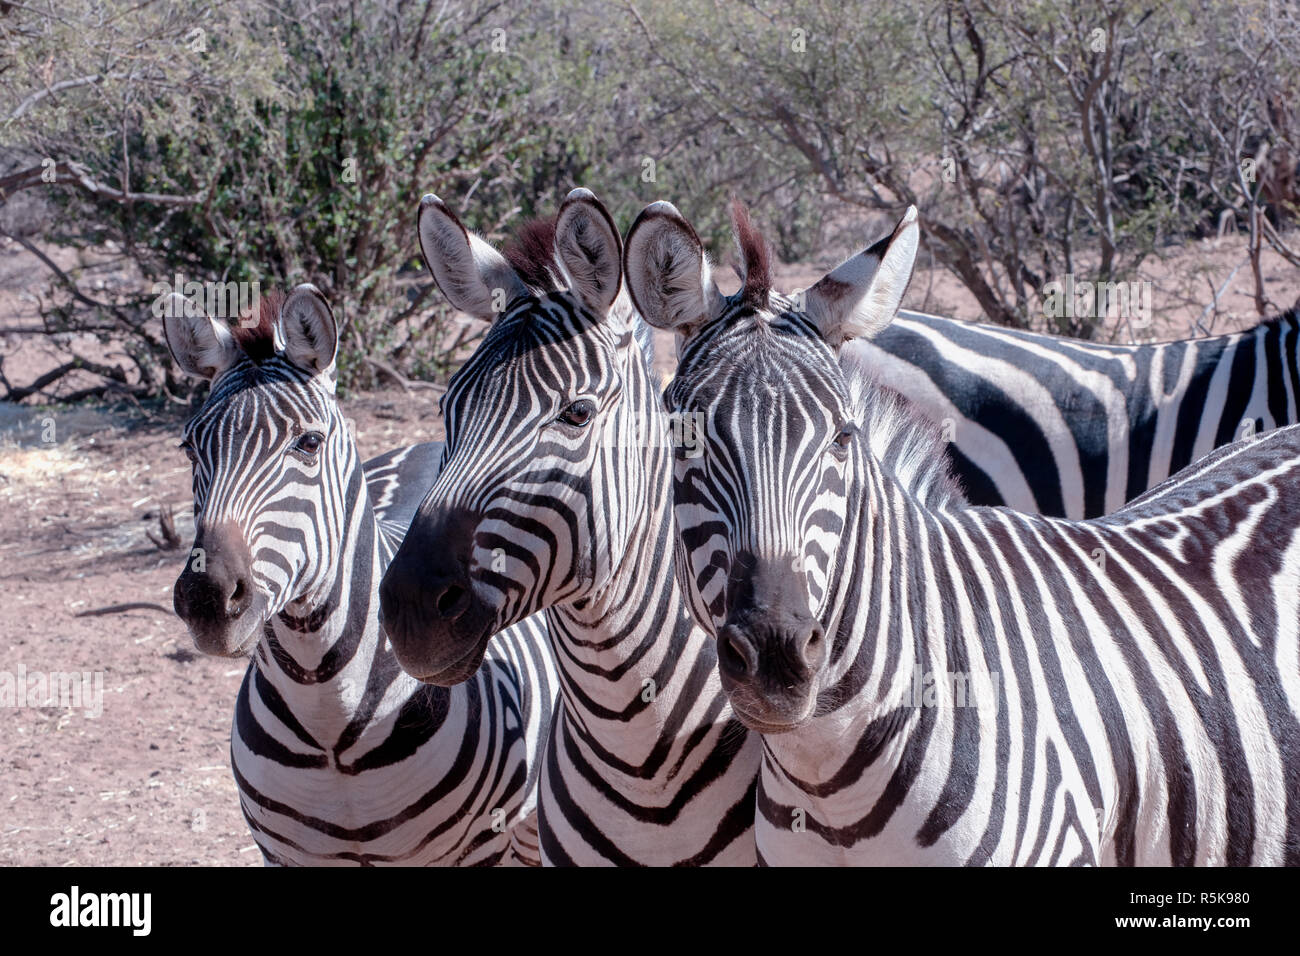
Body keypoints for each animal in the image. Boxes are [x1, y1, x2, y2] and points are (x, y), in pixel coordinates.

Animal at [165, 284, 557, 865]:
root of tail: (424, 446)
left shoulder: (481, 847)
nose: (207, 597)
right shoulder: (282, 855)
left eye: (308, 443)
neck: (328, 714)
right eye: (191, 447)